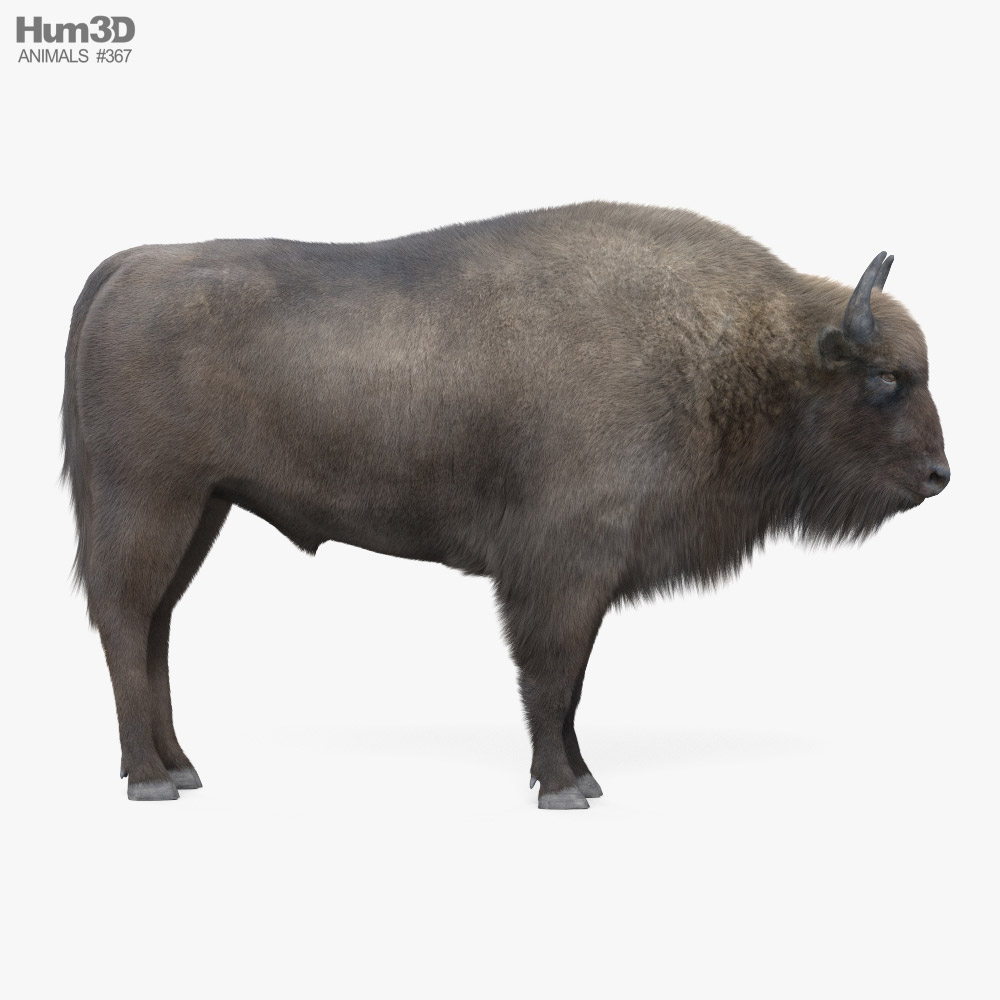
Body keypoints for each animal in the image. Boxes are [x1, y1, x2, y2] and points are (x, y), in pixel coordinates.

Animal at [62, 202, 949, 806]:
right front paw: (561, 787)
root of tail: (132, 265)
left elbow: (572, 684)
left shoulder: (580, 583)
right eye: (885, 379)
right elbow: (551, 678)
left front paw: (583, 776)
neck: (738, 351)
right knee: (124, 617)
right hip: (155, 501)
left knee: (155, 625)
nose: (941, 474)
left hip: (202, 510)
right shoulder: (559, 576)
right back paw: (150, 778)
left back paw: (180, 764)